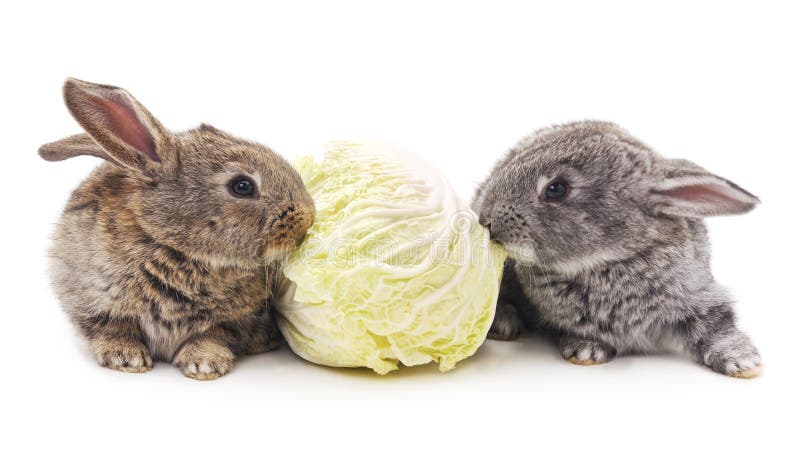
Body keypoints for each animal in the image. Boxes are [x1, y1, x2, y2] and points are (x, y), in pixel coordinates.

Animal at [39, 78, 315, 380]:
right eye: (242, 186)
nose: (308, 218)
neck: (172, 243)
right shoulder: (96, 303)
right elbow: (112, 330)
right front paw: (126, 359)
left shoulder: (232, 320)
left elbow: (212, 336)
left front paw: (205, 363)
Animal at [472, 121, 762, 378]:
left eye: (556, 189)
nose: (487, 220)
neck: (611, 259)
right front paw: (587, 352)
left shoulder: (698, 296)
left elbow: (718, 328)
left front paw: (744, 362)